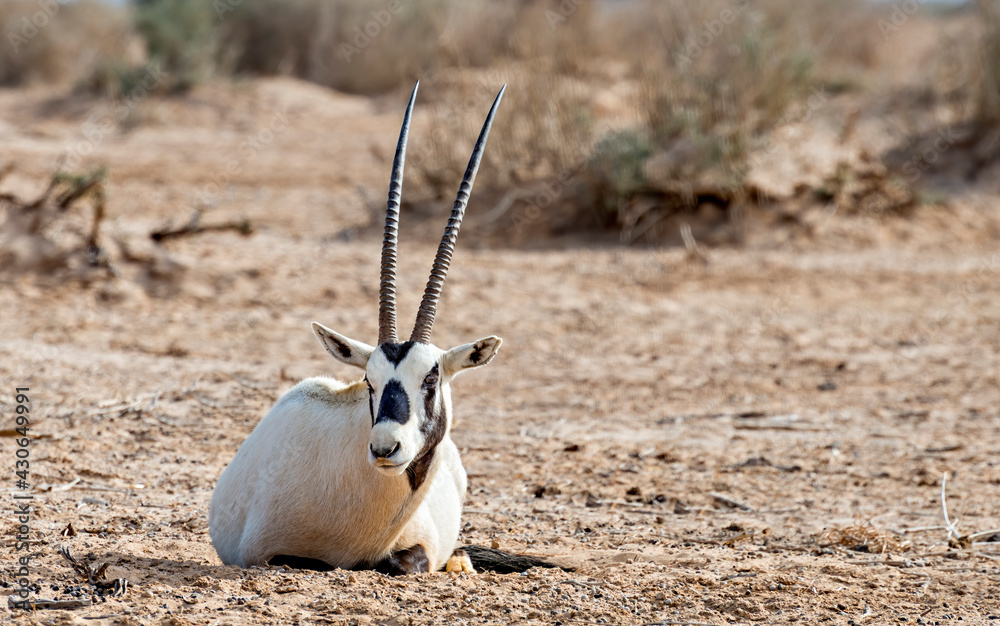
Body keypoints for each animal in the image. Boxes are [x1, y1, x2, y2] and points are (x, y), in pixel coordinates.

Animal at [208, 83, 507, 575]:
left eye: (431, 378)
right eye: (369, 381)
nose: (385, 448)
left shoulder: (420, 544)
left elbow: (411, 561)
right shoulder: (263, 553)